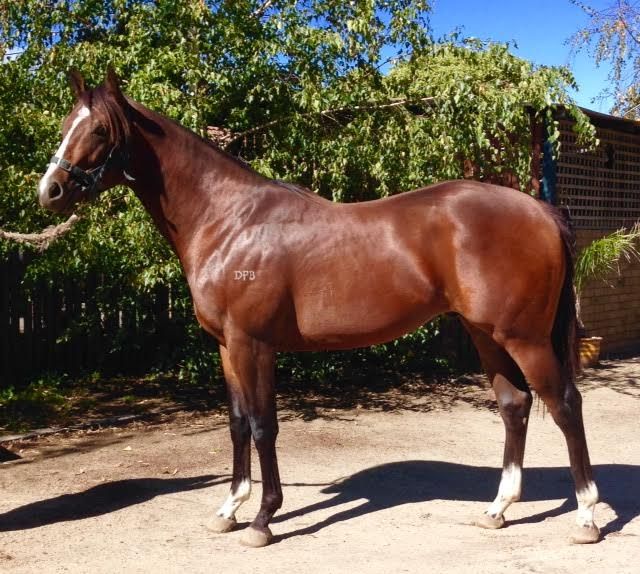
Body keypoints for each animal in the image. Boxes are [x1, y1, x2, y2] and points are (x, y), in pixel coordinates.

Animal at [37, 69, 600, 547]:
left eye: (101, 130)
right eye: (66, 126)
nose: (51, 191)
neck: (230, 220)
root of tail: (541, 209)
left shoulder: (253, 345)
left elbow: (263, 425)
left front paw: (263, 519)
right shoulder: (226, 347)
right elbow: (237, 423)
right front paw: (229, 509)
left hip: (524, 339)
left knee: (565, 406)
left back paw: (586, 517)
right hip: (487, 334)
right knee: (515, 406)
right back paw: (497, 509)